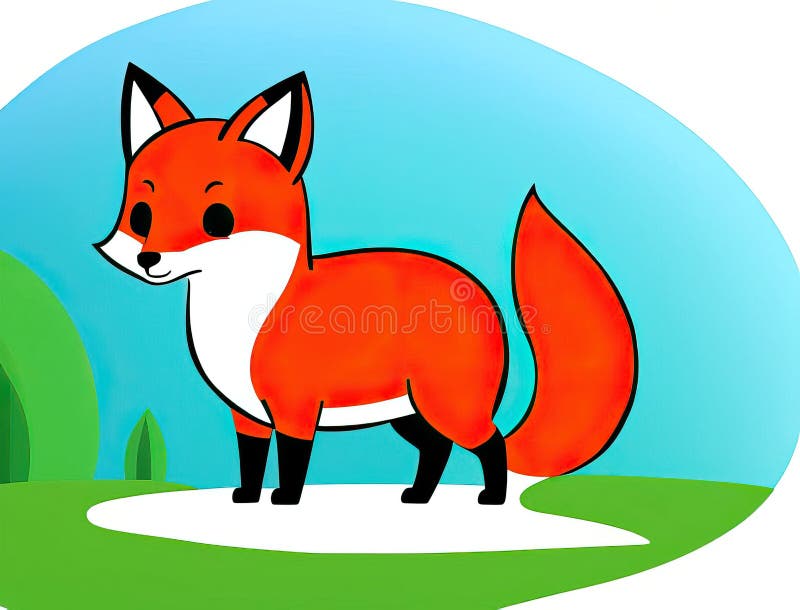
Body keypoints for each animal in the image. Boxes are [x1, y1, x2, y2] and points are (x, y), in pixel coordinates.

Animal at [96, 64, 637, 505]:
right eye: (141, 215)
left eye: (218, 218)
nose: (148, 259)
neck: (242, 313)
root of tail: (477, 288)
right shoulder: (246, 415)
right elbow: (251, 463)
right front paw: (246, 499)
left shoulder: (295, 408)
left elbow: (293, 463)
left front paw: (284, 502)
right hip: (409, 414)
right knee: (438, 449)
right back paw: (418, 496)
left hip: (445, 406)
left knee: (492, 442)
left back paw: (492, 498)